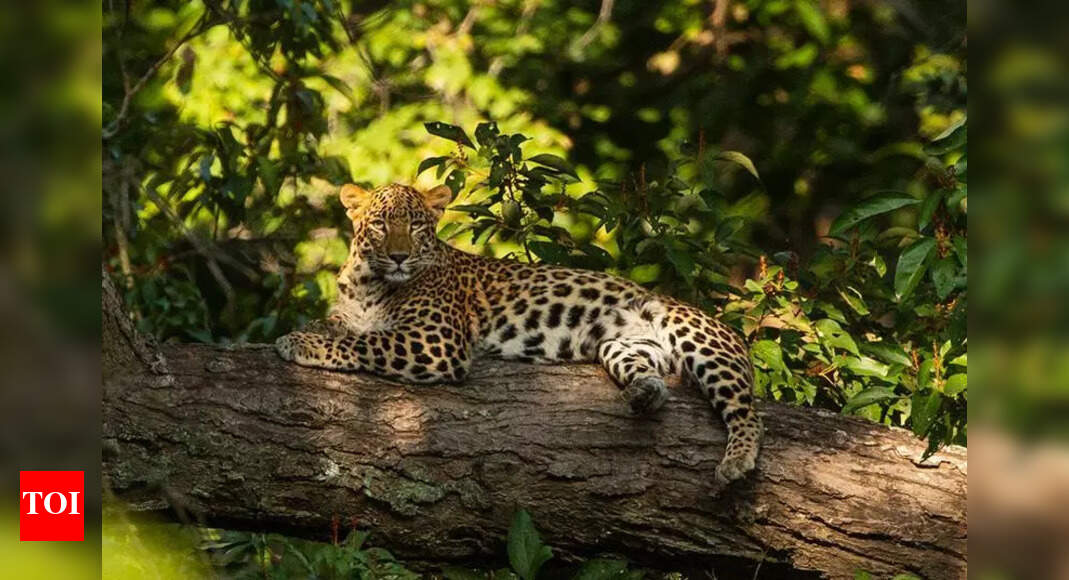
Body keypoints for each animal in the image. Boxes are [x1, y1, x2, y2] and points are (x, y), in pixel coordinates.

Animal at [275, 182, 762, 485]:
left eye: (415, 225)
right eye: (379, 224)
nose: (398, 256)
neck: (369, 282)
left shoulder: (435, 341)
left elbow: (364, 341)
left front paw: (298, 342)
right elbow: (342, 327)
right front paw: (304, 331)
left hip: (698, 338)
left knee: (748, 411)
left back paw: (737, 460)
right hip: (620, 344)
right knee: (647, 372)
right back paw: (644, 392)